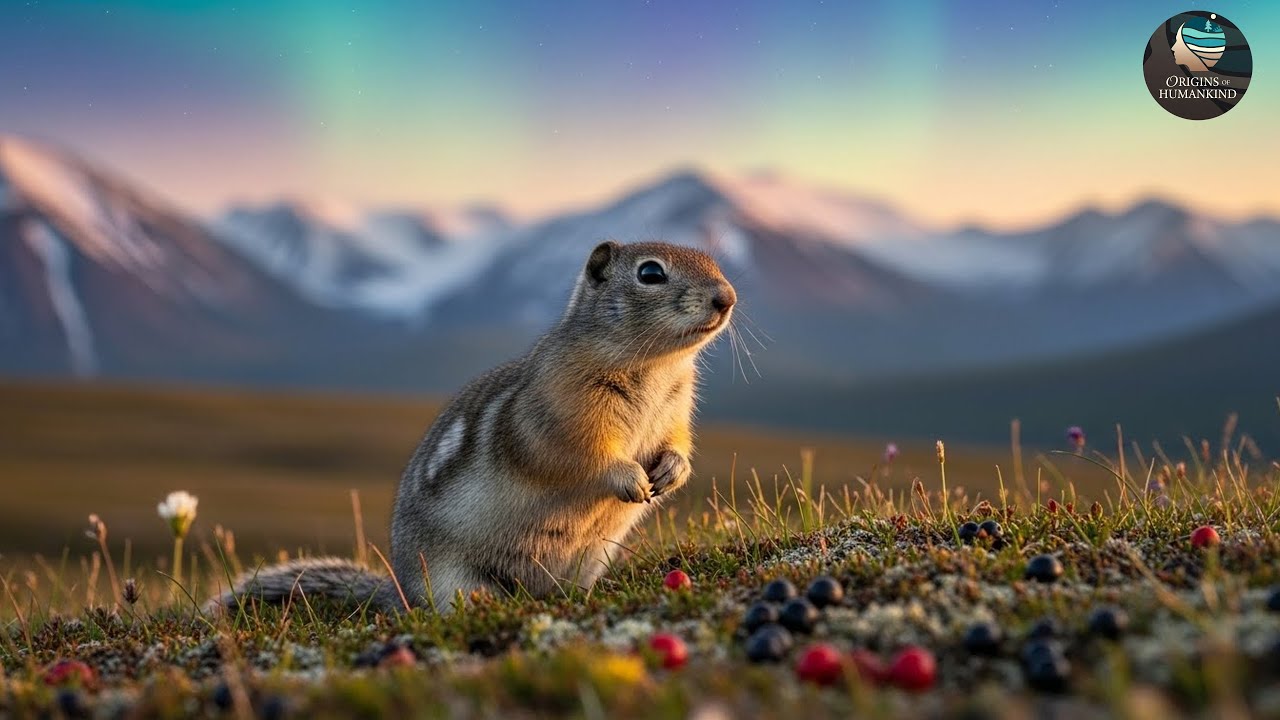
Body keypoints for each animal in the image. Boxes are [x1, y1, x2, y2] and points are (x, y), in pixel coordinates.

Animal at [207, 240, 736, 614]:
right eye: (651, 272)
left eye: (713, 261)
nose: (727, 297)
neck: (656, 366)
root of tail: (400, 591)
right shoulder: (562, 410)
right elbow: (579, 454)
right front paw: (630, 479)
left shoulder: (675, 413)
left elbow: (676, 443)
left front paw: (671, 472)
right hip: (453, 580)